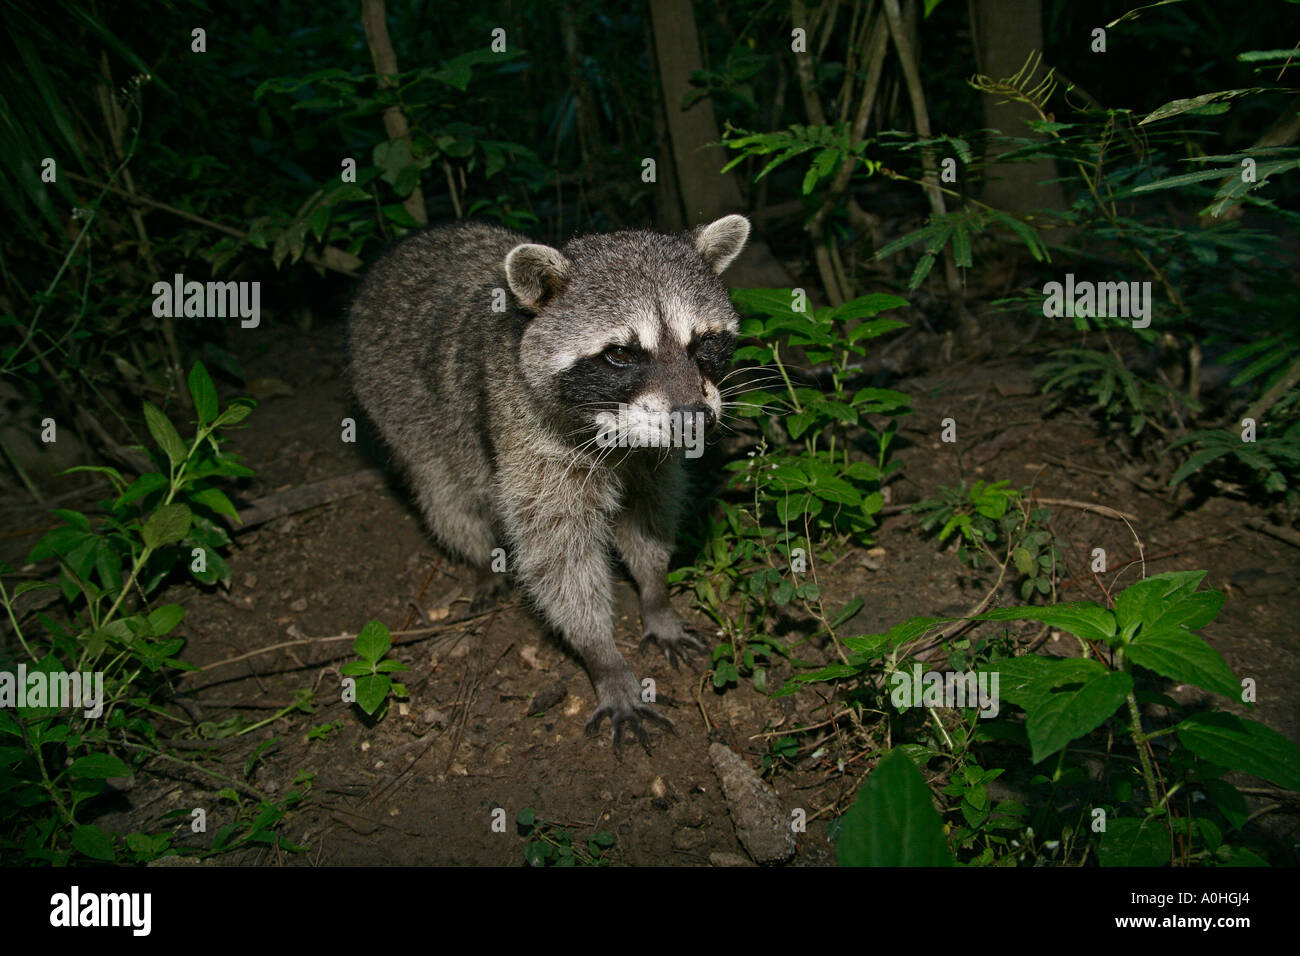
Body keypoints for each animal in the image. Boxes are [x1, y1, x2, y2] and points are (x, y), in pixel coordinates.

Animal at [346, 214, 750, 748]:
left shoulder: (649, 457)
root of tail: (404, 246)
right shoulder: (531, 438)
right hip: (400, 410)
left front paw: (655, 594)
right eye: (621, 354)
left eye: (703, 341)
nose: (695, 420)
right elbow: (558, 558)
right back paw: (480, 559)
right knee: (448, 499)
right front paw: (603, 657)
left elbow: (649, 512)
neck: (613, 429)